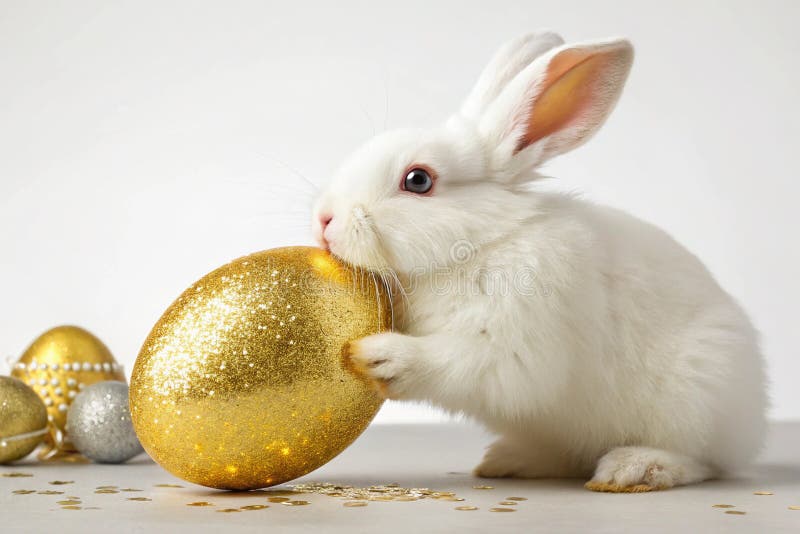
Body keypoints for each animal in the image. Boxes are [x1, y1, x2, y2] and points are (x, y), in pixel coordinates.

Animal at [311, 31, 767, 492]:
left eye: (418, 180)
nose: (324, 220)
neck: (482, 244)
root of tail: (752, 422)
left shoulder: (512, 346)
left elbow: (456, 362)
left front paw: (380, 358)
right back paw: (508, 460)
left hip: (696, 398)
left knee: (702, 462)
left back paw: (634, 468)